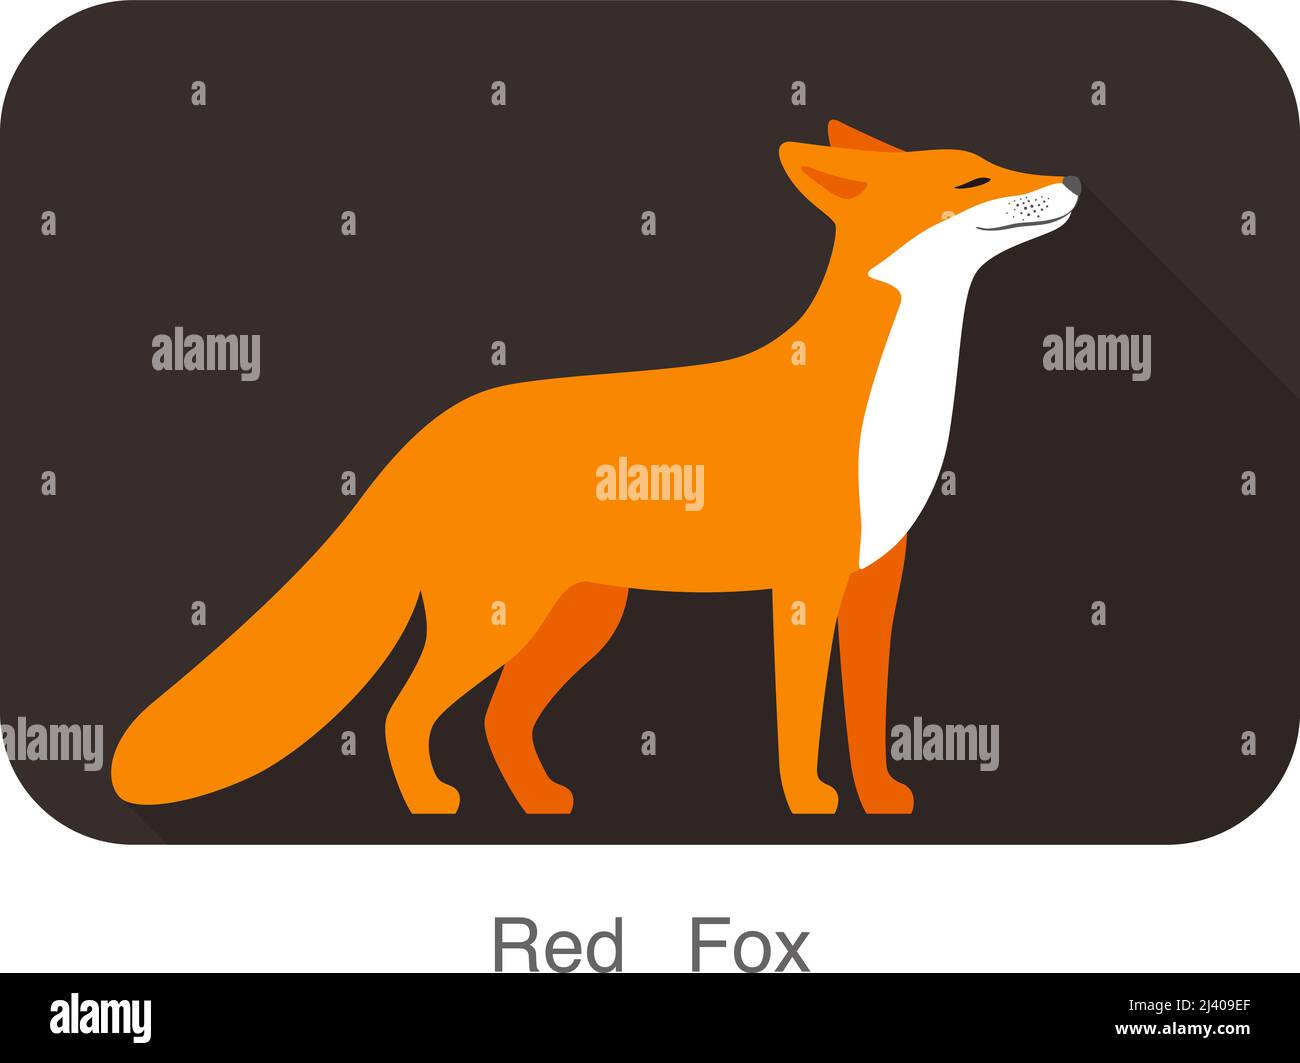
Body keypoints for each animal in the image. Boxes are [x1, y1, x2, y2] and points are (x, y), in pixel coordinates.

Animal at [111, 120, 1078, 816]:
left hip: (573, 622)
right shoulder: (805, 587)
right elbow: (799, 718)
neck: (893, 398)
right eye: (972, 181)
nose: (1070, 180)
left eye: (993, 163)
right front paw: (808, 800)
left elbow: (869, 715)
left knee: (498, 719)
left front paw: (879, 800)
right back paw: (428, 802)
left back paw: (540, 802)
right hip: (499, 621)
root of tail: (430, 431)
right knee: (404, 711)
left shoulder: (878, 581)